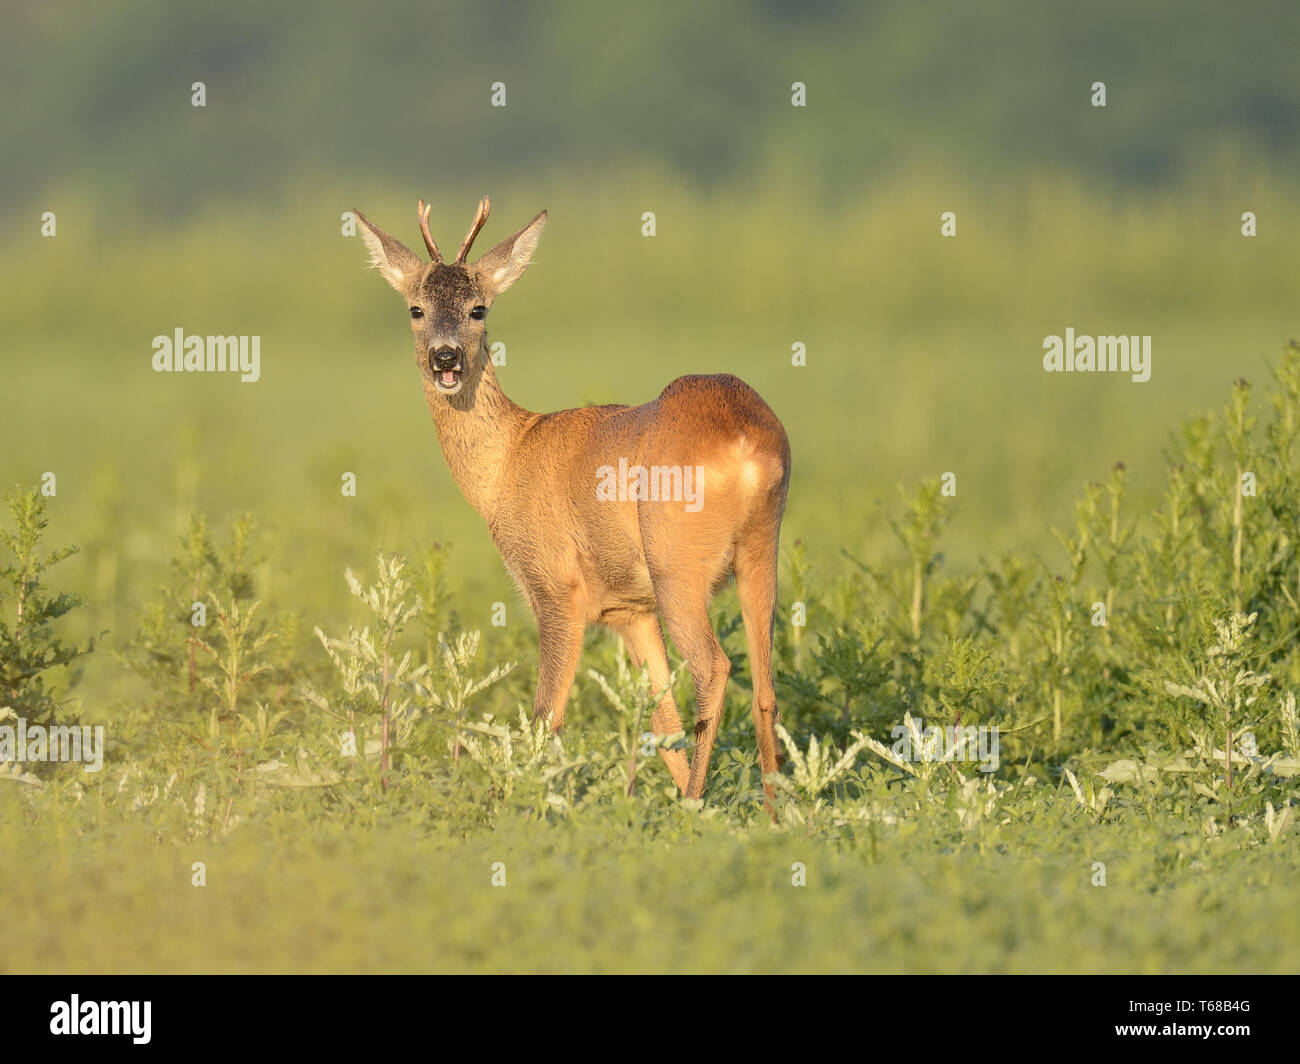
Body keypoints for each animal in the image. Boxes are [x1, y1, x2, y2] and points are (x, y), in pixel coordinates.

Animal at [354, 197, 791, 807]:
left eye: (478, 309)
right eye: (416, 309)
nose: (445, 358)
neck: (507, 461)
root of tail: (750, 443)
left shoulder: (554, 586)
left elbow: (545, 717)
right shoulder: (628, 609)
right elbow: (661, 719)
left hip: (677, 564)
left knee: (715, 668)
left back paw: (694, 805)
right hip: (759, 553)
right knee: (765, 687)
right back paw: (768, 812)